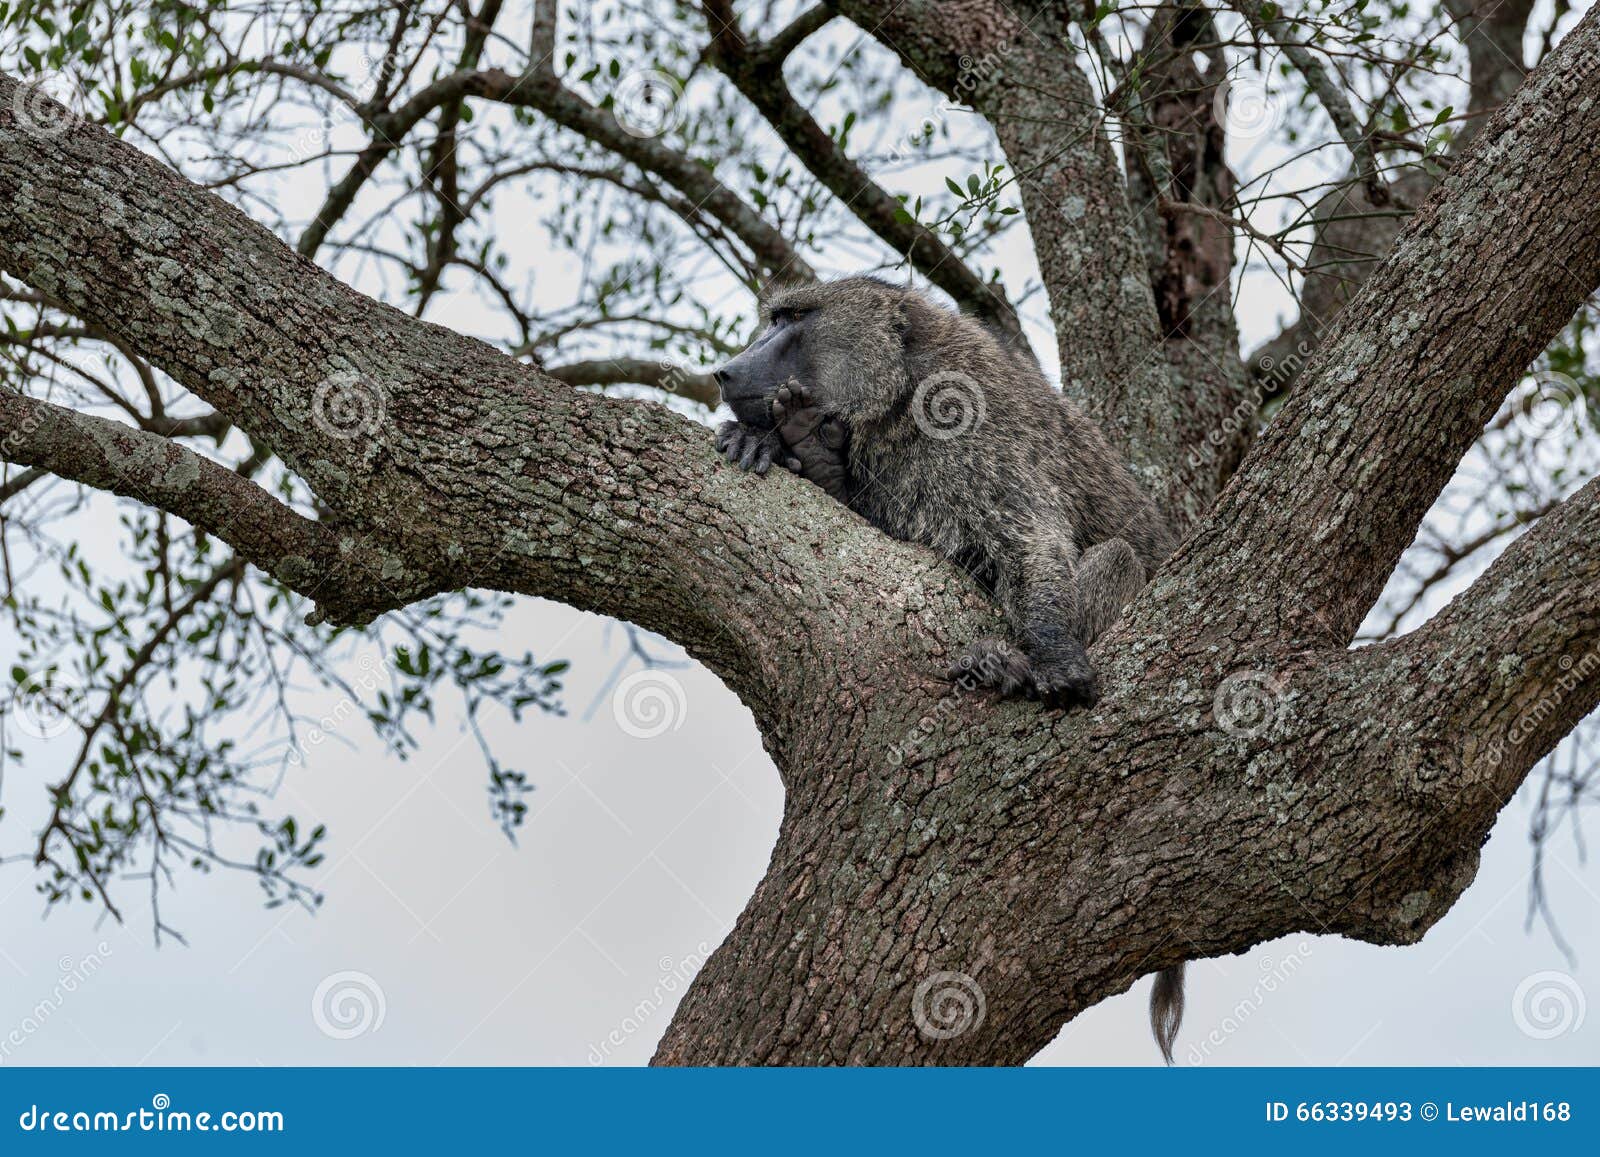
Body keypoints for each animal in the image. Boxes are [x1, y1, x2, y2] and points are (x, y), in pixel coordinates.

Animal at [714, 275, 1187, 1062]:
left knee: (1120, 556)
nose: (727, 371)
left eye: (794, 319)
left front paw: (1052, 656)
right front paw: (789, 447)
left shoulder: (971, 424)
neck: (901, 391)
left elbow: (1031, 537)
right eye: (771, 319)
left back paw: (1009, 663)